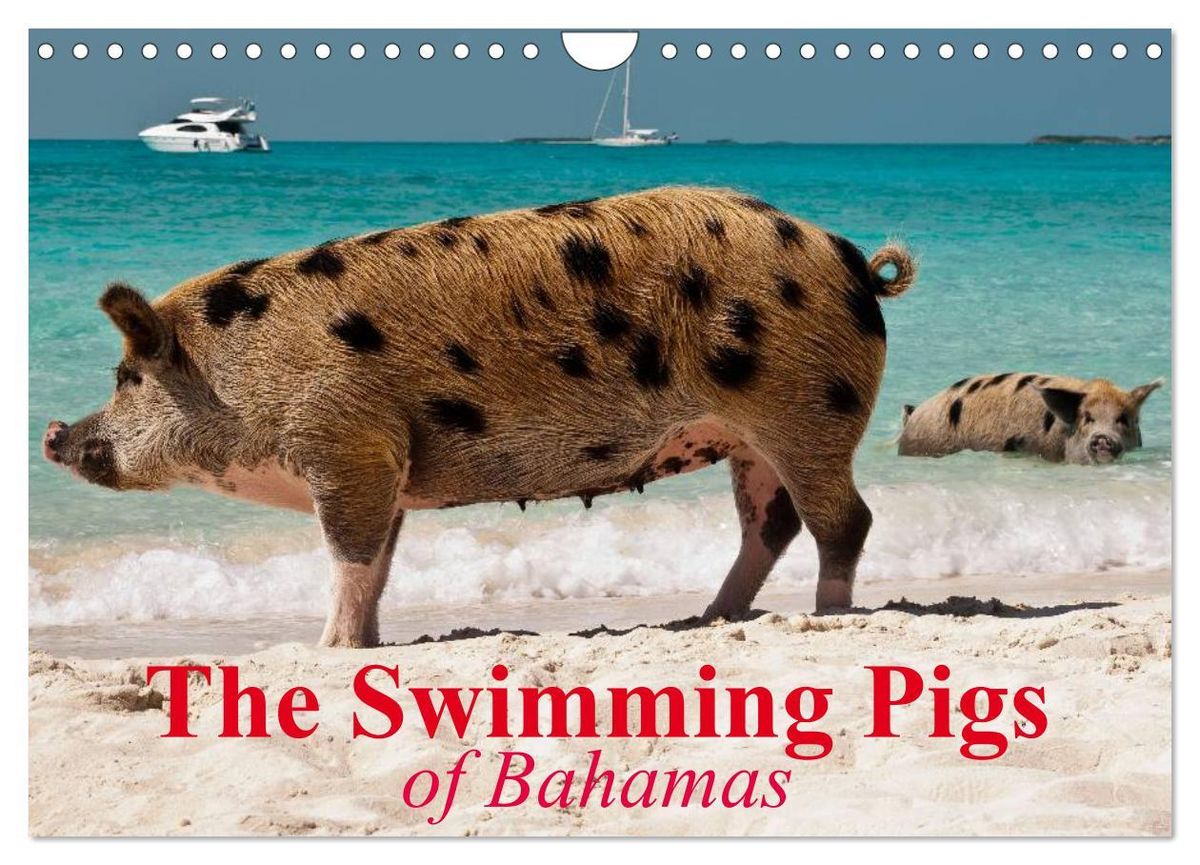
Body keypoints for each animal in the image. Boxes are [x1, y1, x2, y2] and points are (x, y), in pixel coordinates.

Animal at [42, 186, 916, 647]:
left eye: (126, 377)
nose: (53, 432)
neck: (242, 368)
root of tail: (851, 260)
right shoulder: (388, 462)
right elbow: (379, 563)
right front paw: (363, 644)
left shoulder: (347, 444)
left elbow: (348, 555)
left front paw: (322, 647)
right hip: (752, 435)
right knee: (773, 523)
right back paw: (710, 614)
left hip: (806, 412)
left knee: (847, 518)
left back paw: (829, 613)